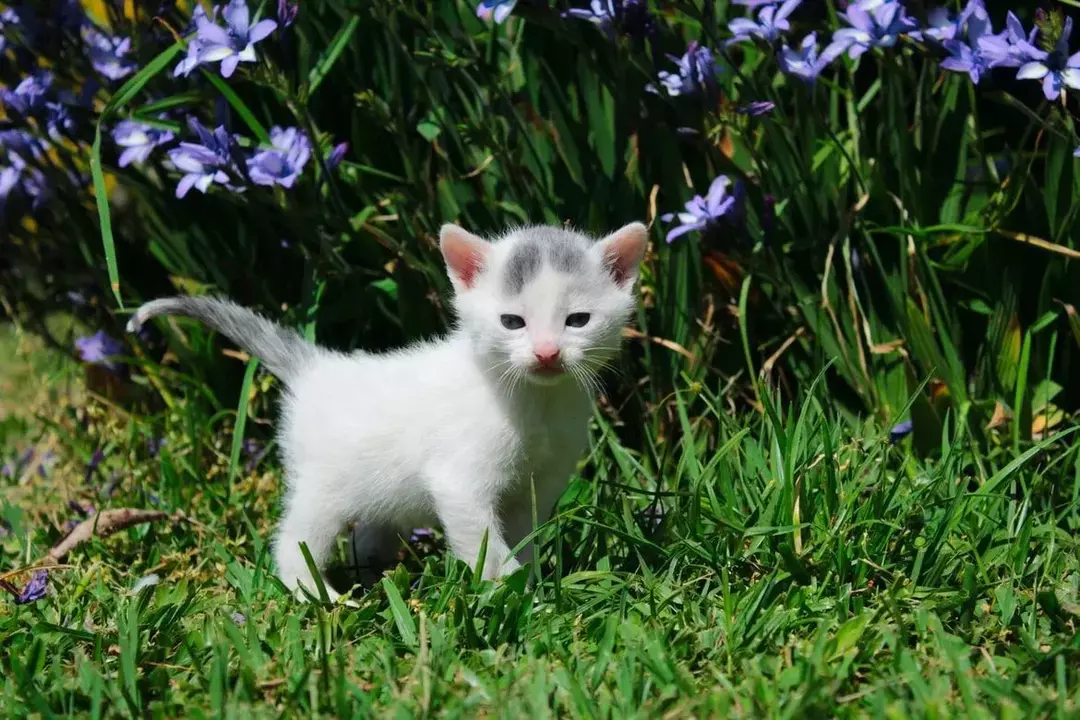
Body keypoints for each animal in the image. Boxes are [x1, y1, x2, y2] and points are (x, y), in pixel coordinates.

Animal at [128, 221, 648, 604]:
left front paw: (536, 583)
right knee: (292, 541)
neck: (536, 402)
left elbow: (525, 538)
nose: (546, 353)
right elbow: (488, 548)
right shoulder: (459, 485)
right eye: (512, 322)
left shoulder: (537, 487)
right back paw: (322, 596)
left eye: (577, 320)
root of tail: (317, 366)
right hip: (321, 487)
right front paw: (510, 594)